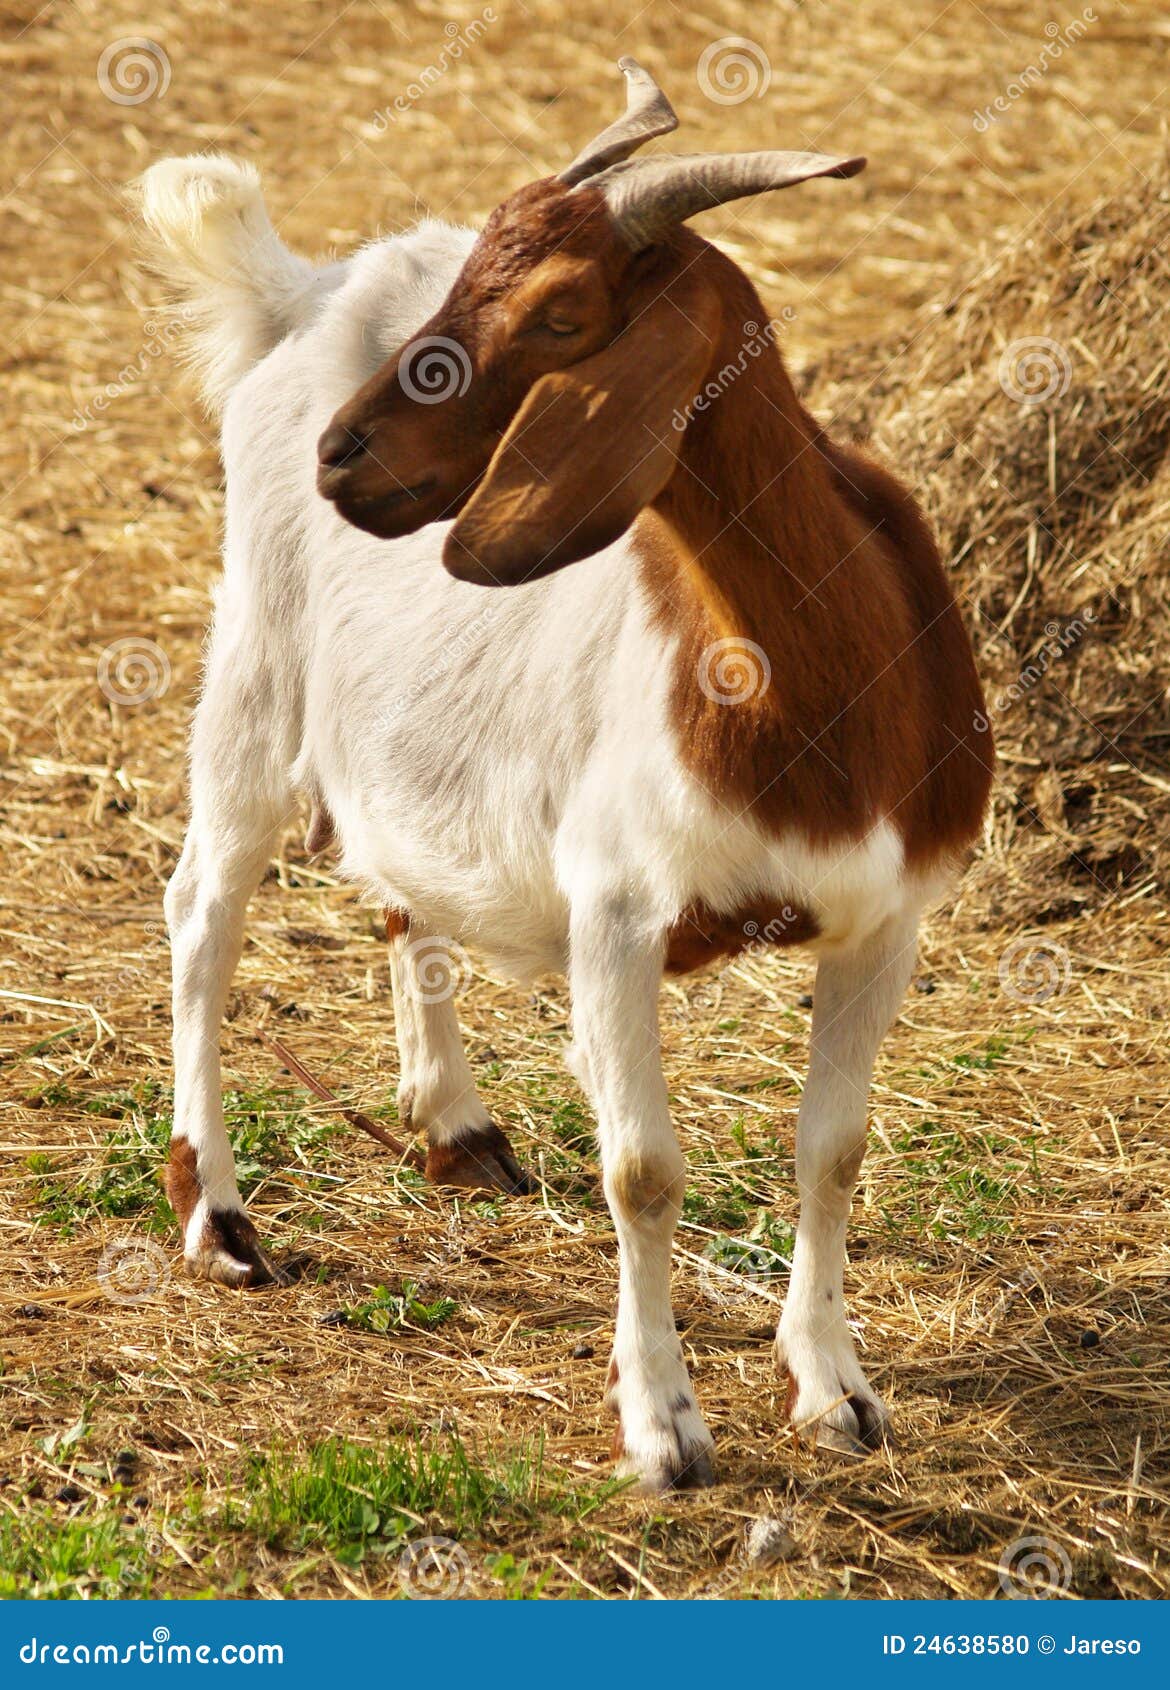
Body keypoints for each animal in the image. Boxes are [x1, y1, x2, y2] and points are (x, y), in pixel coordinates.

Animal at [141, 59, 992, 1491]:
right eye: (470, 282)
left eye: (559, 311)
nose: (342, 455)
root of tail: (301, 291)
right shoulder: (618, 910)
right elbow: (644, 1170)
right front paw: (663, 1425)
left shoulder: (888, 919)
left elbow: (834, 1152)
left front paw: (835, 1390)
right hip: (256, 663)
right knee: (204, 907)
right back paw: (219, 1215)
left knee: (397, 881)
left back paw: (456, 1128)